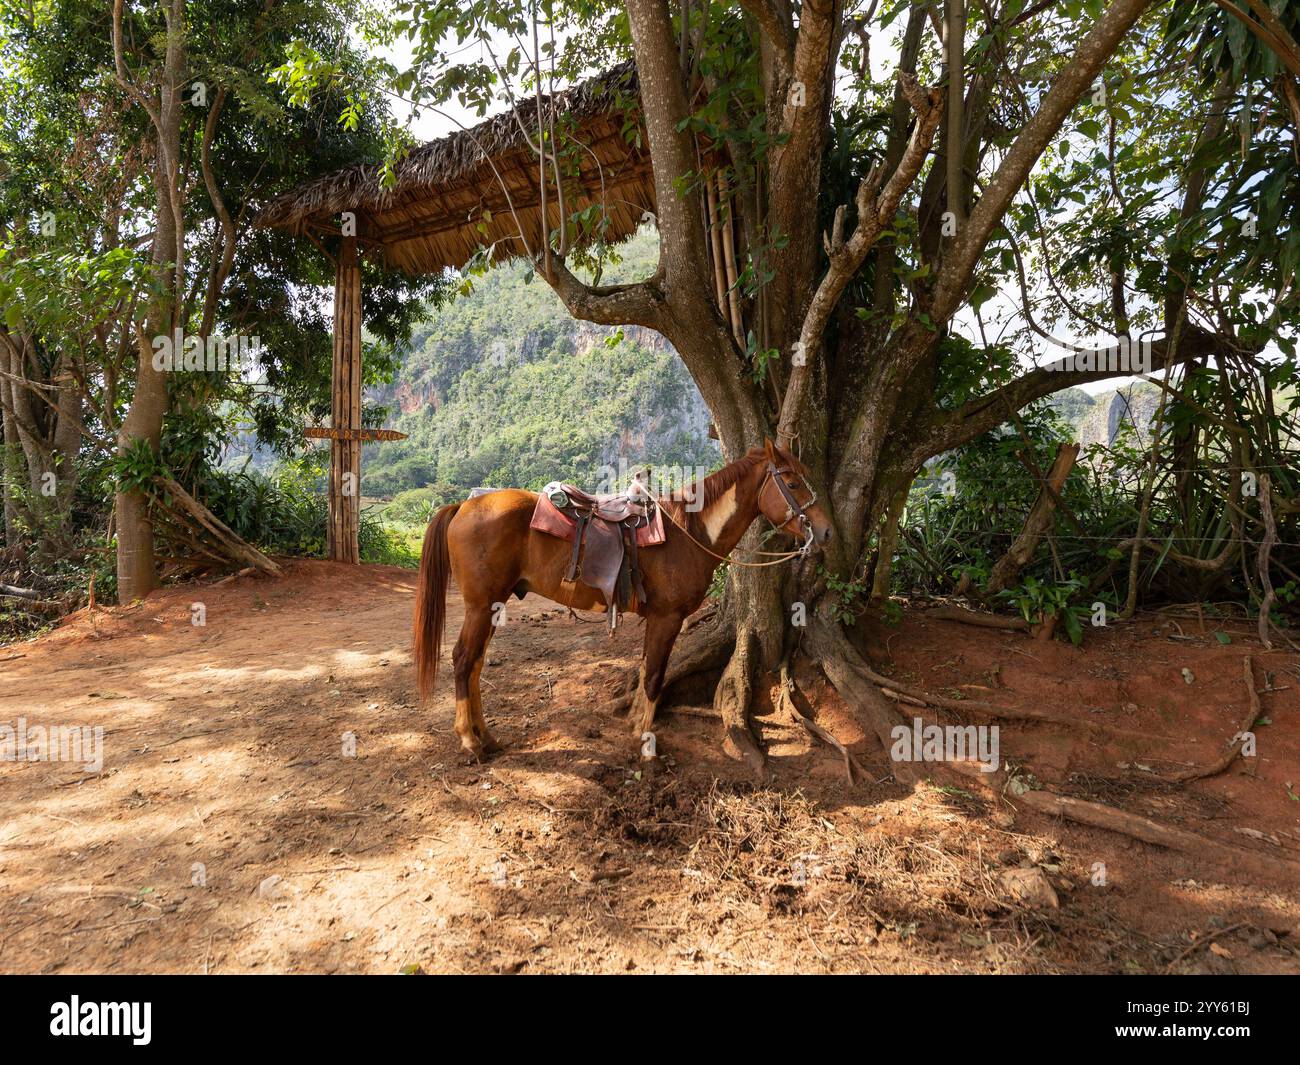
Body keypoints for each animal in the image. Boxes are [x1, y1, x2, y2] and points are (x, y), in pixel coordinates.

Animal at [413, 439, 833, 761]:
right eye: (793, 482)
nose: (827, 531)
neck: (690, 532)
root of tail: (464, 506)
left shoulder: (659, 620)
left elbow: (648, 668)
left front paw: (634, 725)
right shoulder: (667, 618)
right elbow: (654, 676)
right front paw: (646, 744)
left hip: (493, 606)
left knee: (476, 665)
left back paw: (487, 737)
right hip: (480, 605)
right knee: (463, 660)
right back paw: (470, 741)